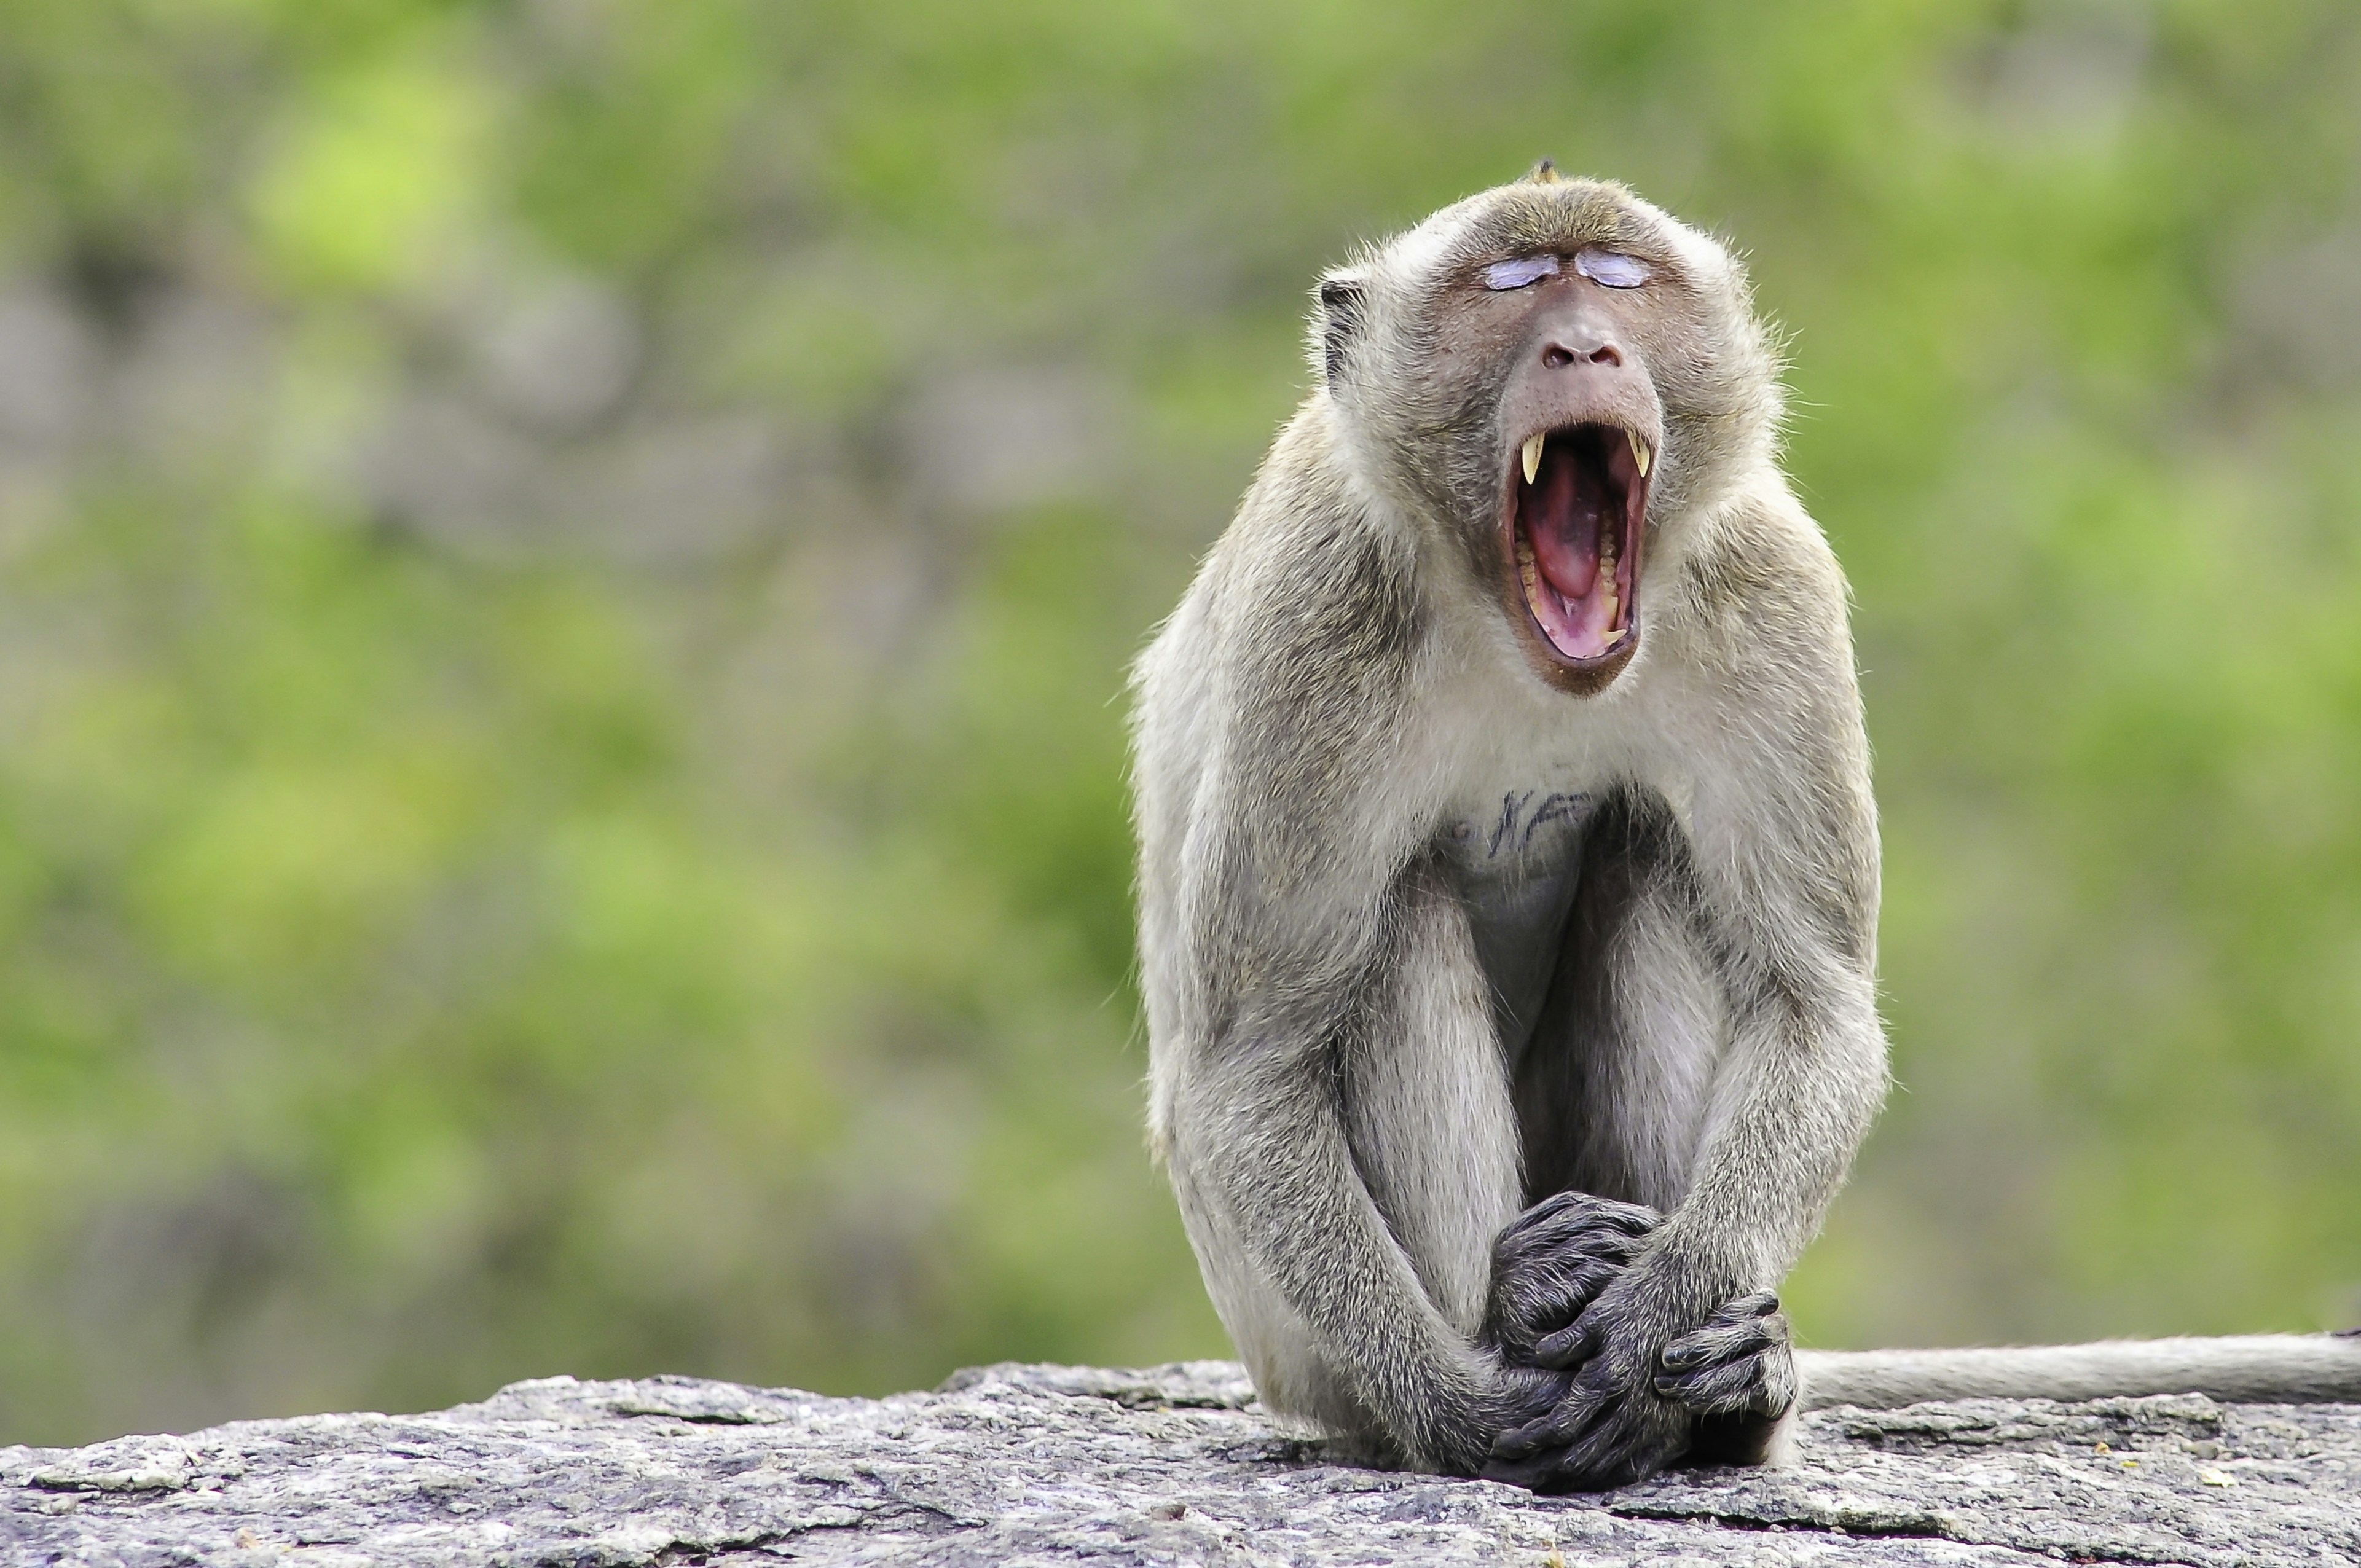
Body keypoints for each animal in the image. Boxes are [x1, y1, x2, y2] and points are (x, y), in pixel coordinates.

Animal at [1128, 163, 2361, 1494]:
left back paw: (1727, 1393)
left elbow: (1809, 997)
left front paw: (1661, 1315)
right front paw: (1453, 1401)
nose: (1582, 343)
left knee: (1652, 853)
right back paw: (1511, 1312)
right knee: (1397, 917)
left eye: (1618, 279)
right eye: (1511, 283)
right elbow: (1251, 1062)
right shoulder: (1314, 618)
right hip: (1290, 1347)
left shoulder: (1772, 589)